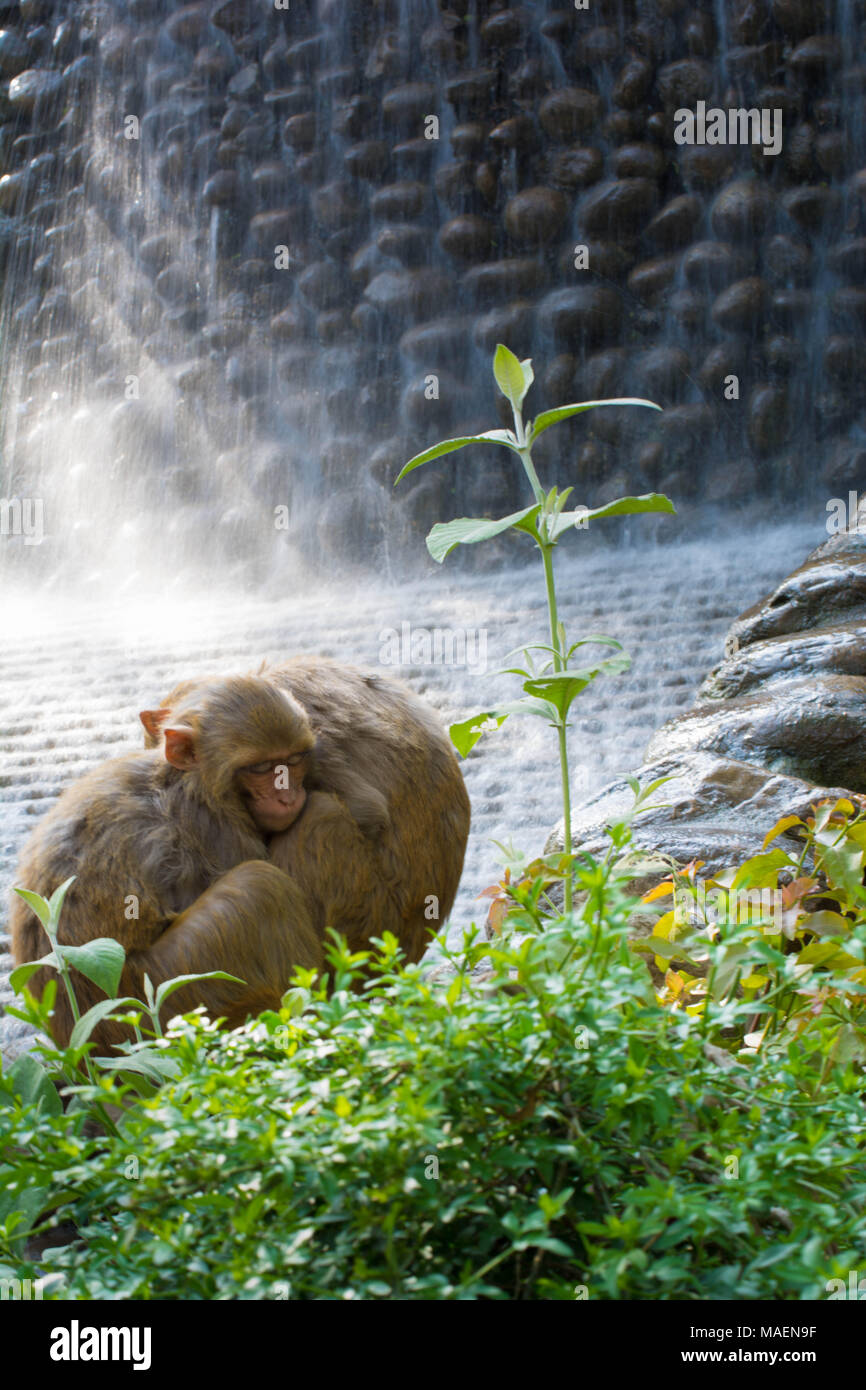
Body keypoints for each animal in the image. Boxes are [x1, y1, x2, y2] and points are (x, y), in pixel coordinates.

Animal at [10, 675, 324, 1052]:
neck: (185, 778)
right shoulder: (213, 825)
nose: (287, 796)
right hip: (161, 999)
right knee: (258, 888)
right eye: (261, 768)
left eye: (293, 760)